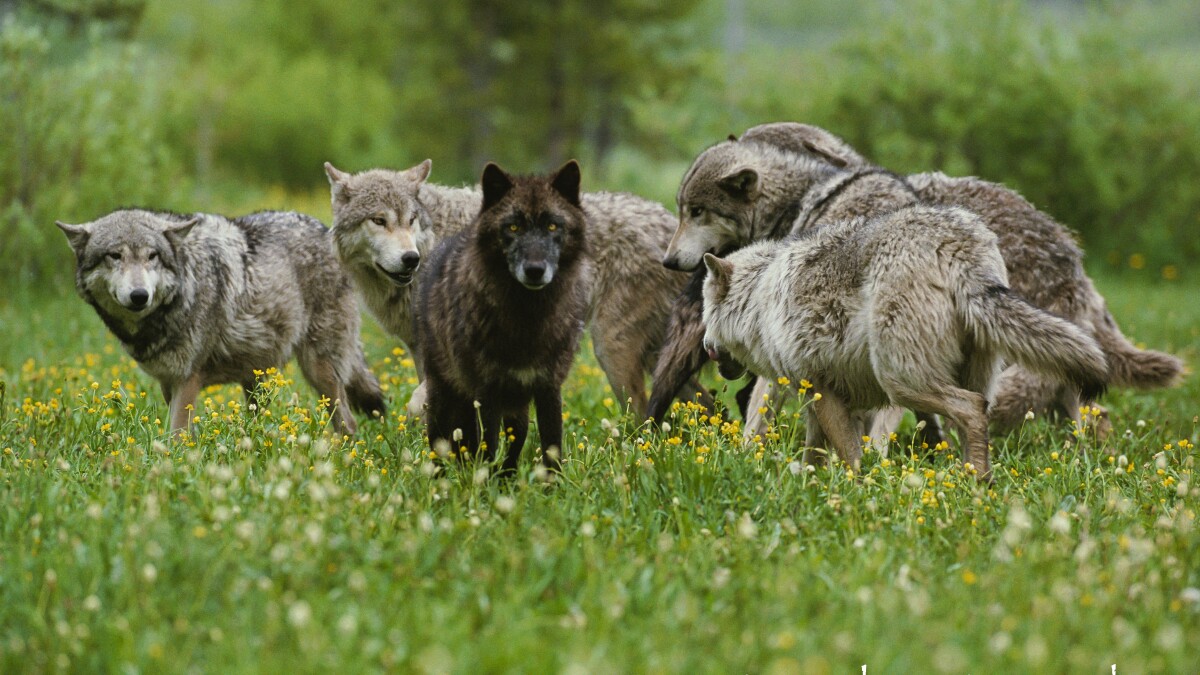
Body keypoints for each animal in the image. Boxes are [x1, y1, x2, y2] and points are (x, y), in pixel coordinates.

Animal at [58, 209, 385, 435]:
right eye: (114, 256)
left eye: (152, 256)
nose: (140, 296)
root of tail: (326, 230)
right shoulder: (168, 383)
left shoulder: (188, 380)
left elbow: (175, 436)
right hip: (256, 381)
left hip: (320, 372)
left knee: (349, 424)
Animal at [324, 160, 696, 418]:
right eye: (379, 220)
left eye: (411, 220)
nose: (410, 259)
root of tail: (672, 229)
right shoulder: (423, 347)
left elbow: (419, 402)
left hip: (611, 352)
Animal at [416, 161, 590, 474]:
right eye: (513, 227)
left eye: (552, 225)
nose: (535, 270)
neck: (528, 318)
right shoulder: (487, 393)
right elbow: (487, 446)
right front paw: (482, 483)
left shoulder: (548, 388)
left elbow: (552, 446)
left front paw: (554, 485)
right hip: (445, 395)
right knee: (441, 440)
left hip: (515, 409)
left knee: (514, 441)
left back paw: (506, 477)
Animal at [701, 205, 1109, 481]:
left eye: (705, 312)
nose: (705, 346)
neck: (760, 296)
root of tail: (956, 246)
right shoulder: (823, 400)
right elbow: (816, 454)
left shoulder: (824, 394)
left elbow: (851, 456)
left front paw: (857, 491)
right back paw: (975, 486)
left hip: (900, 382)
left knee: (972, 408)